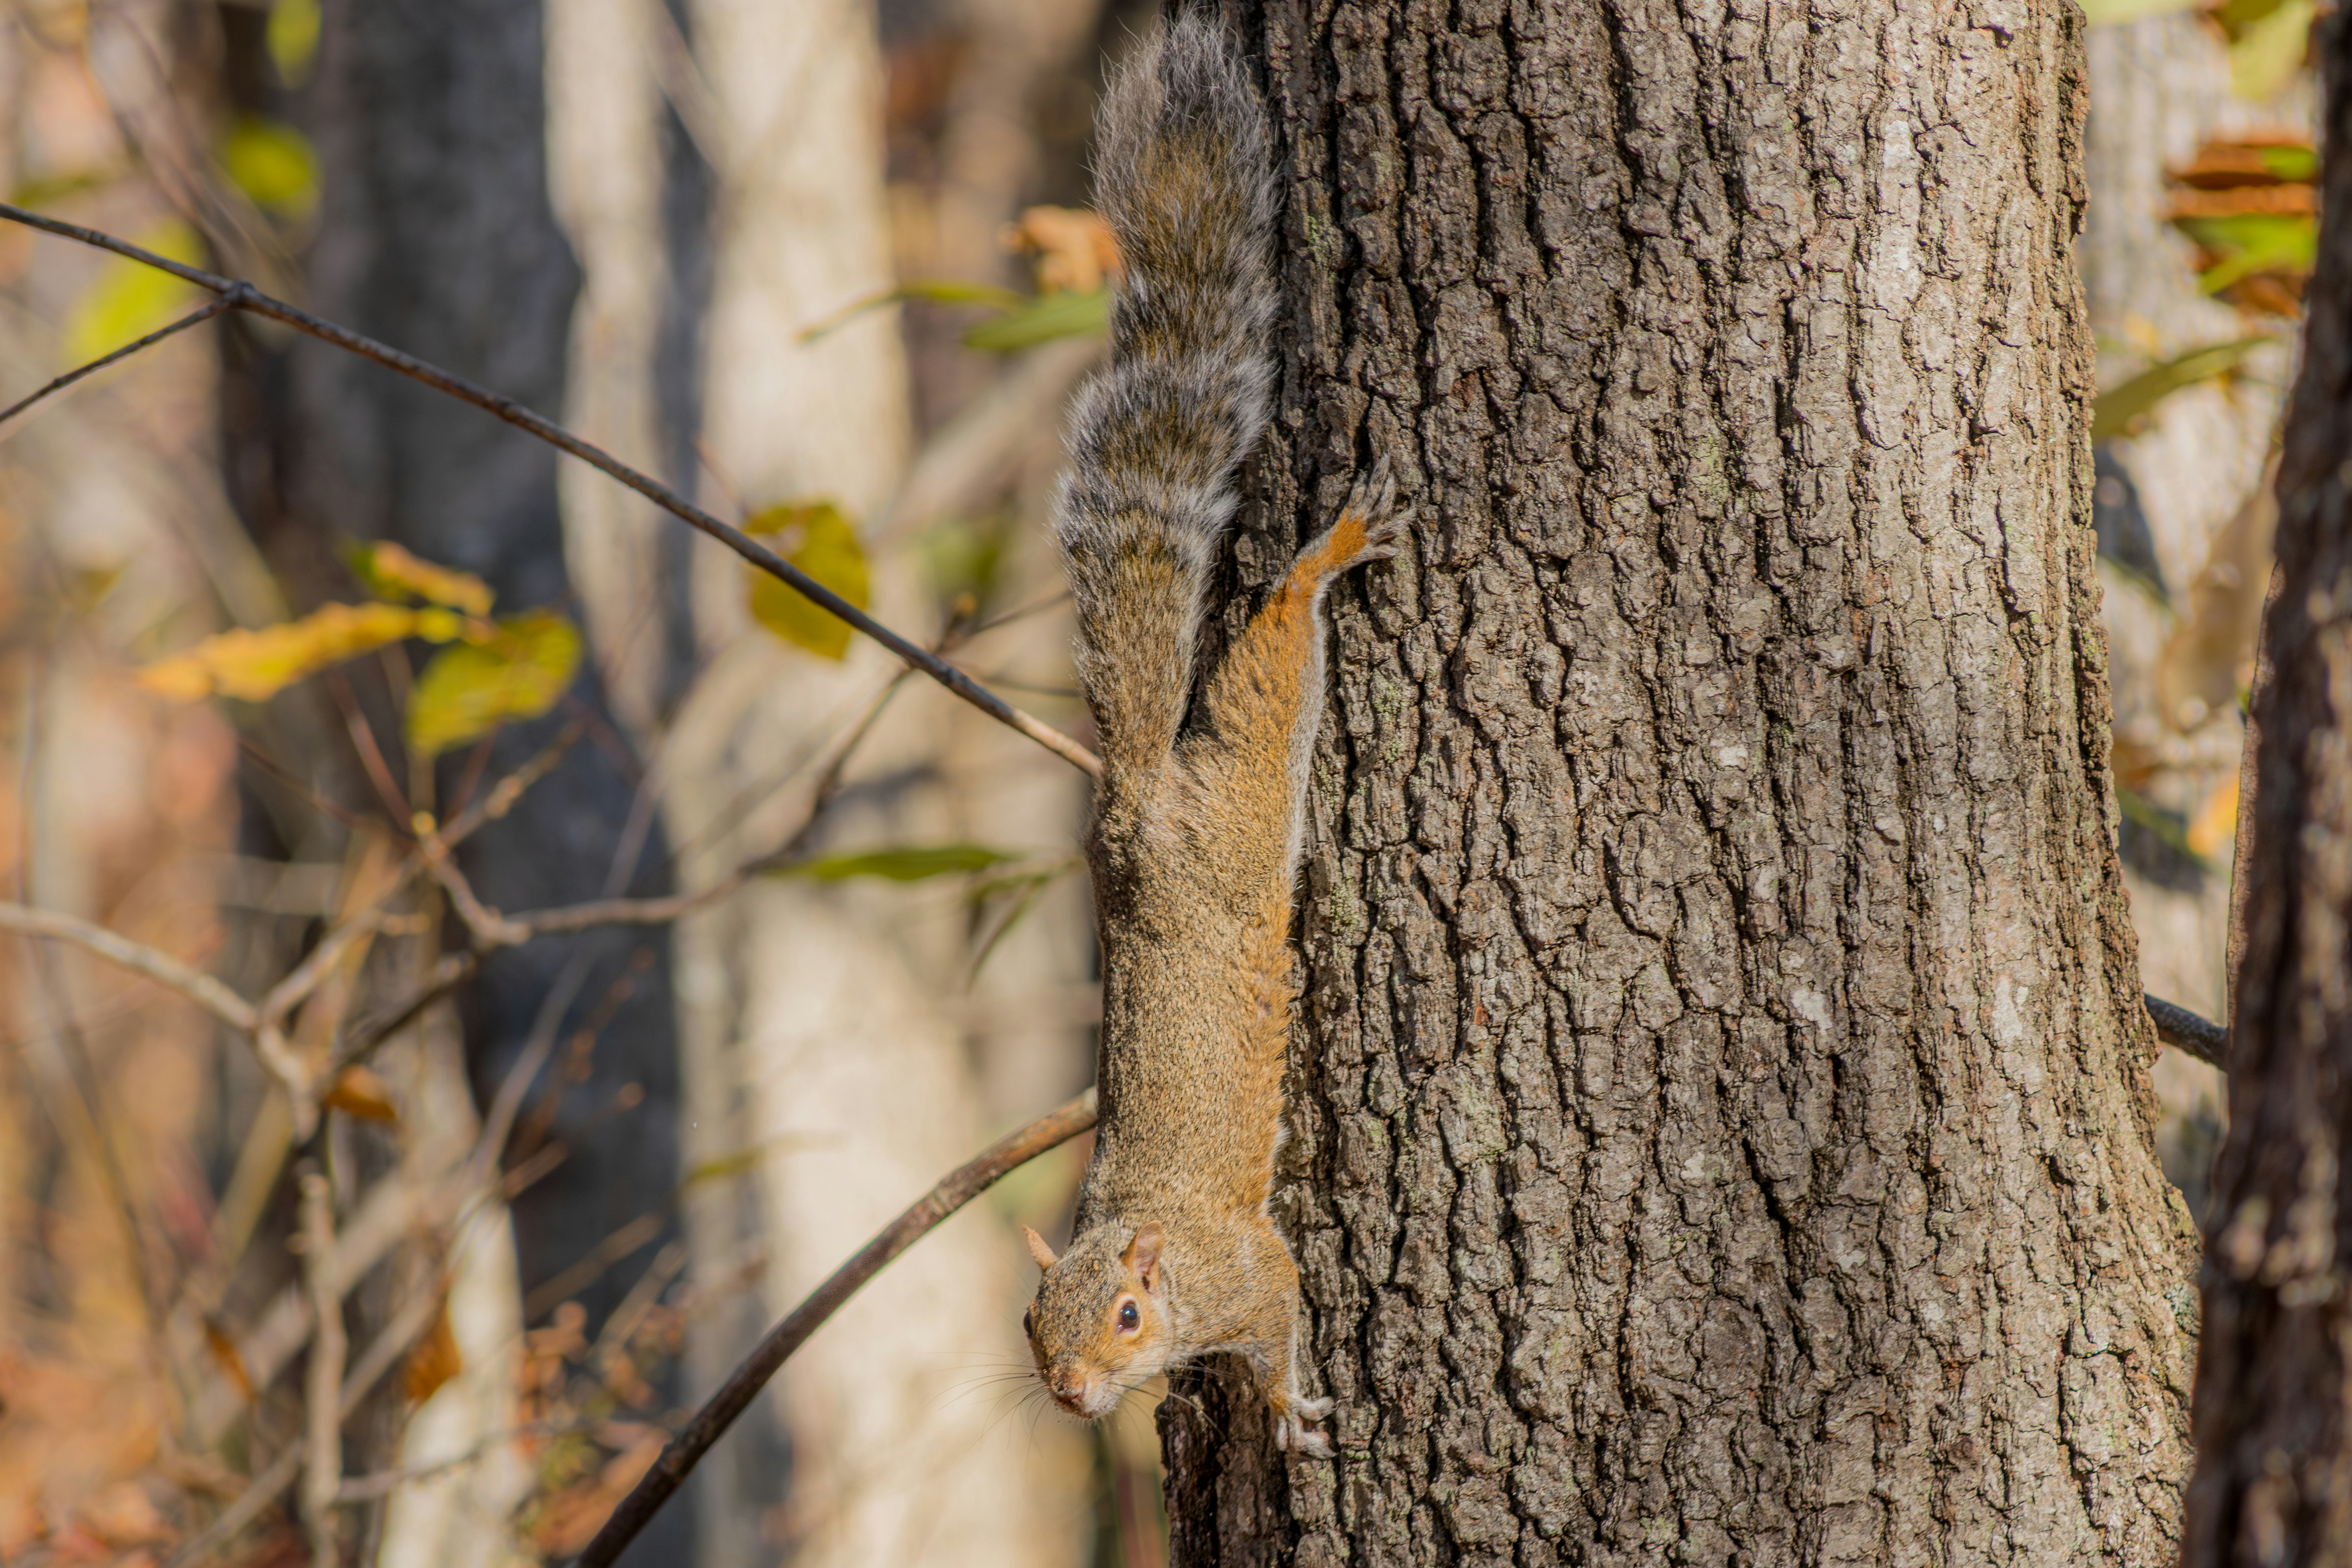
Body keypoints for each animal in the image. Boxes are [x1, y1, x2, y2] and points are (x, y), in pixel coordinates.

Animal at [1018, 16, 1406, 1459]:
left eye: (1126, 1318)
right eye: (1030, 1327)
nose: (1071, 1395)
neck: (1171, 1259)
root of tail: (1132, 812)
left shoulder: (1256, 1264)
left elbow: (1283, 1316)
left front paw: (1289, 1407)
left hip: (1242, 791)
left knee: (1276, 648)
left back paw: (1330, 551)